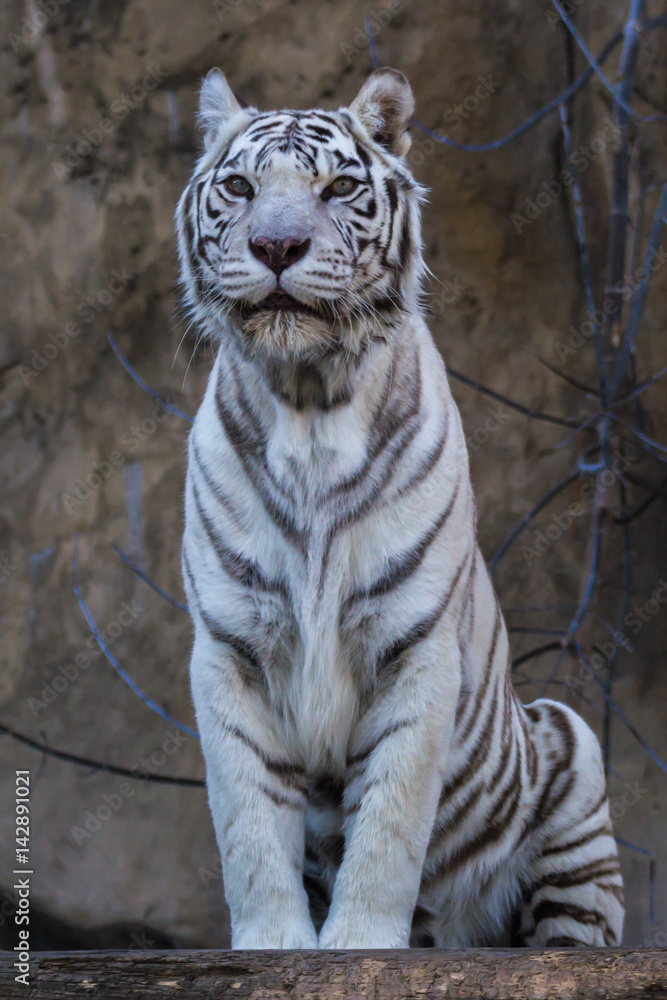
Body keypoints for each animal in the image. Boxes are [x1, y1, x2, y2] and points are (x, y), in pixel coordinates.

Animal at [176, 66, 624, 950]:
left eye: (338, 187)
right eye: (240, 188)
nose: (275, 248)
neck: (306, 402)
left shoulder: (414, 647)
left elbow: (390, 820)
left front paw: (357, 946)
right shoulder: (230, 647)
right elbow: (248, 820)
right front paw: (275, 945)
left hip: (568, 745)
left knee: (568, 932)